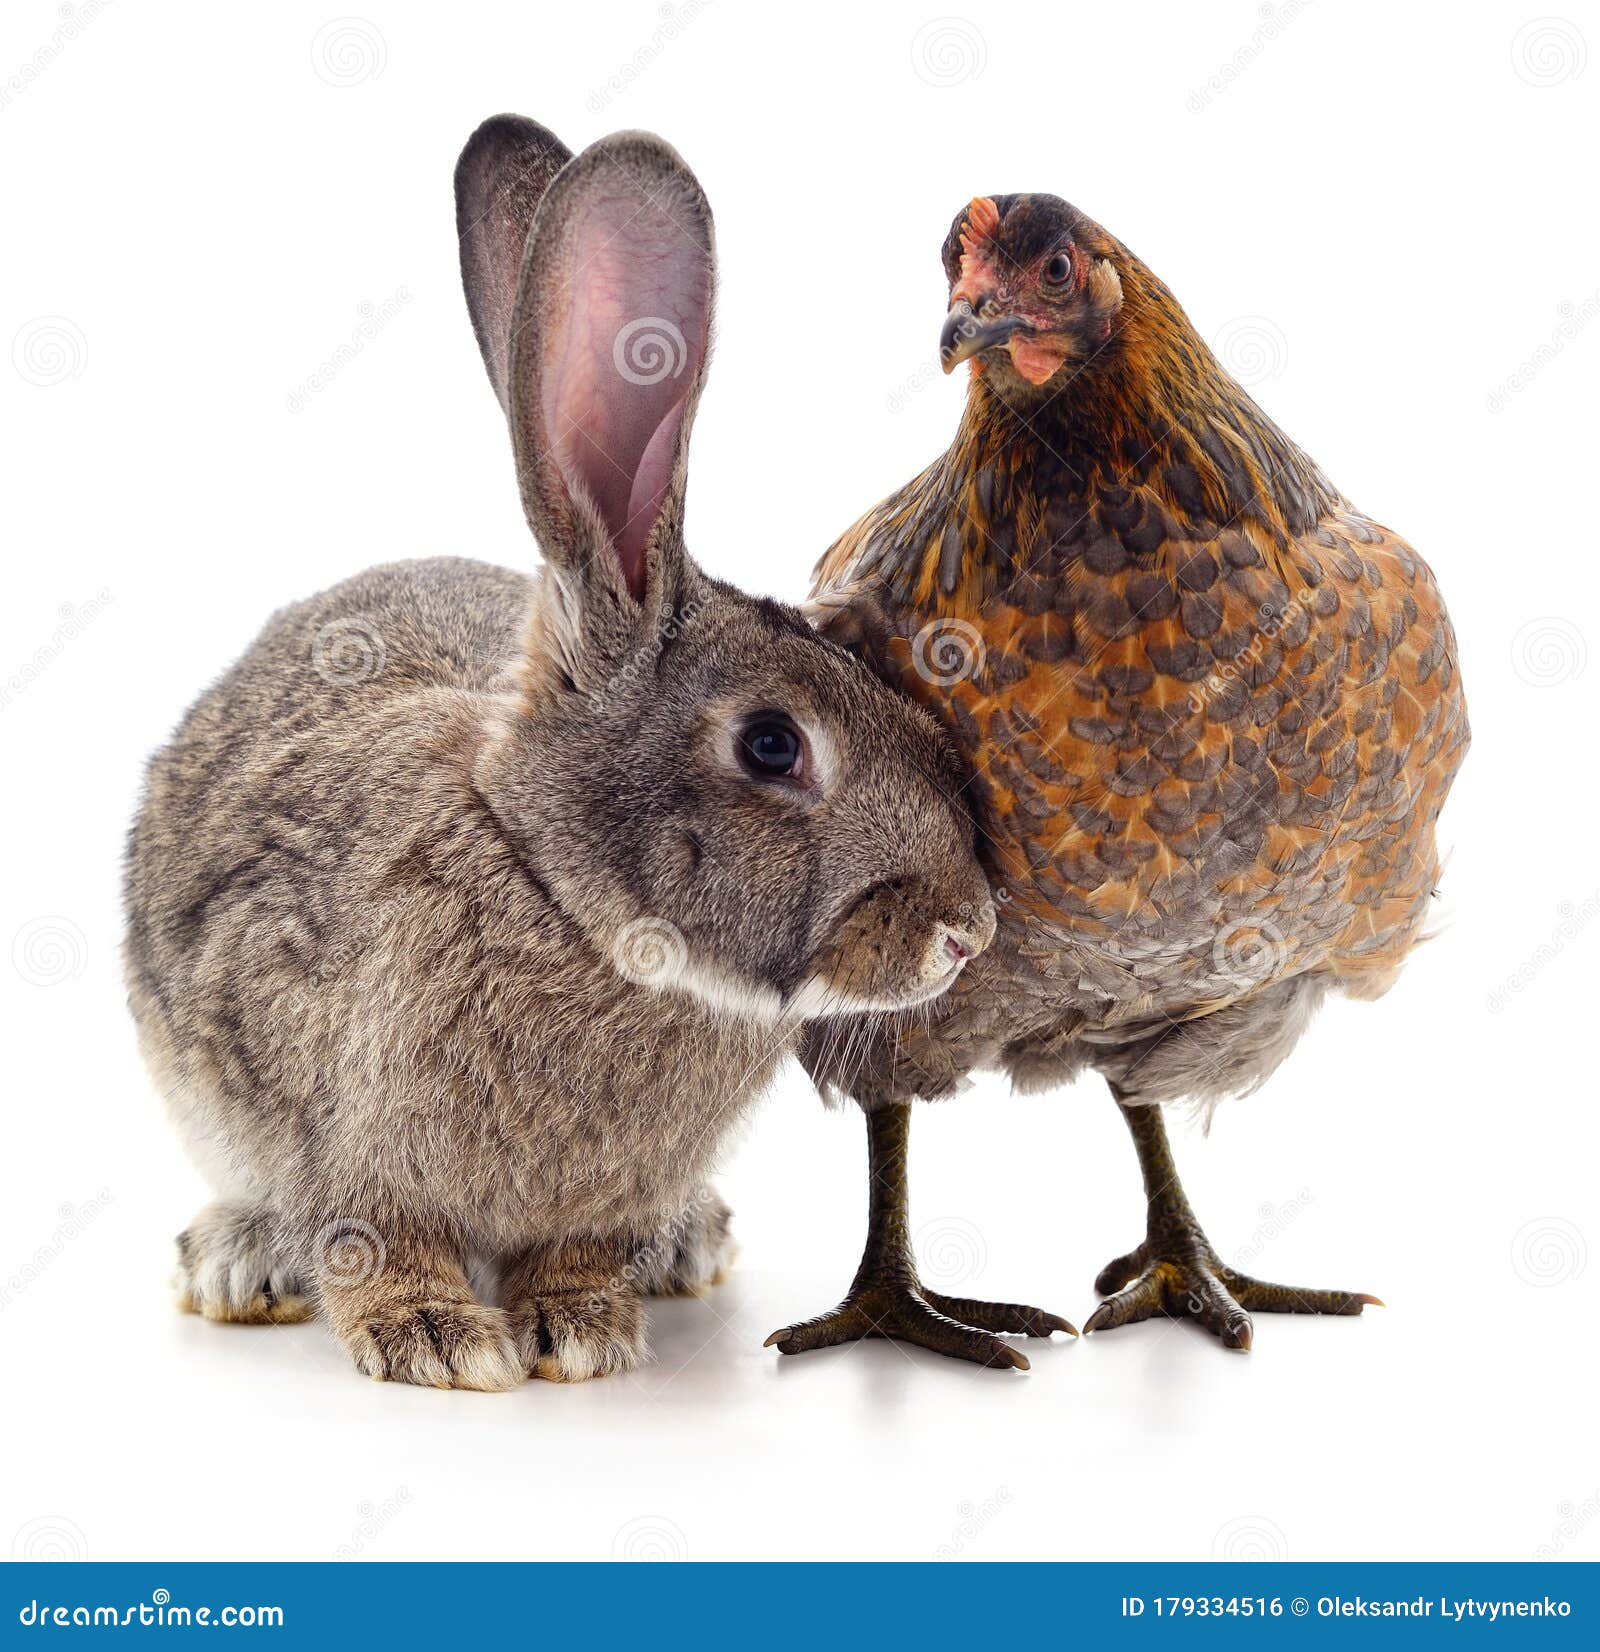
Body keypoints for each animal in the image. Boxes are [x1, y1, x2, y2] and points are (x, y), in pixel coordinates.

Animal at [122, 115, 997, 1390]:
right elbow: (368, 1235)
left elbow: (574, 1247)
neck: (562, 896)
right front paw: (433, 1337)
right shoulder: (324, 1114)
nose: (966, 929)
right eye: (772, 743)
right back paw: (240, 1259)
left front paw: (580, 1325)